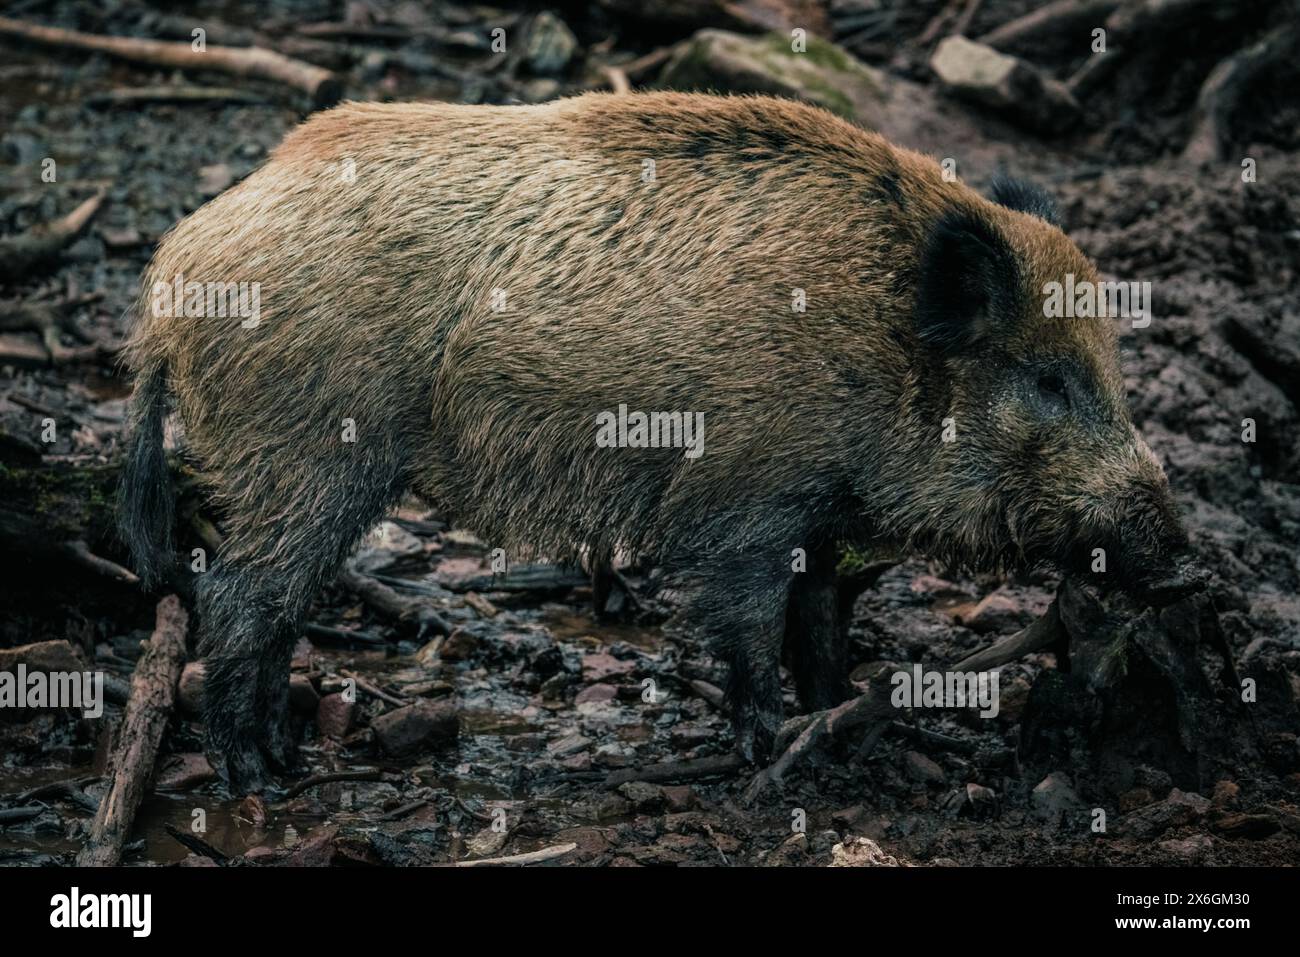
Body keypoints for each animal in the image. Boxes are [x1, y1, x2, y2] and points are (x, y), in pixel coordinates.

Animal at [118, 92, 1188, 792]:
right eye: (1048, 380)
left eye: (1112, 363)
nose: (1182, 560)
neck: (883, 343)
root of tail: (171, 275)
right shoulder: (745, 502)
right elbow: (750, 629)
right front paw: (770, 756)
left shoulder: (820, 519)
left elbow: (822, 630)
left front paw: (843, 729)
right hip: (308, 453)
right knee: (239, 594)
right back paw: (256, 778)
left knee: (276, 600)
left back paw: (288, 758)